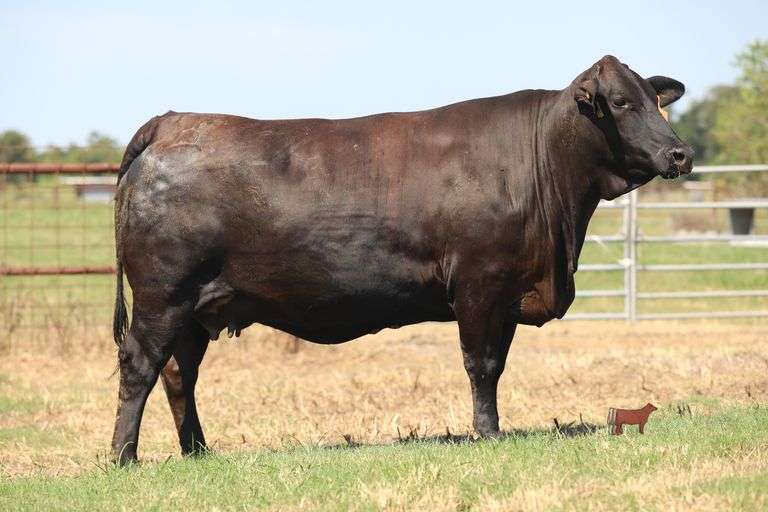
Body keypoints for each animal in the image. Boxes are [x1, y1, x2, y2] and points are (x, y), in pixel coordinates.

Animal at [111, 55, 693, 465]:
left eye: (655, 99)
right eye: (620, 102)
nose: (680, 153)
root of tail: (173, 122)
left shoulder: (506, 295)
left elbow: (497, 363)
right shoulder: (480, 286)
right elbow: (482, 365)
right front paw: (488, 433)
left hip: (195, 307)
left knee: (180, 373)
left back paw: (197, 451)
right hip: (164, 295)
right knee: (140, 365)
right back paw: (123, 456)